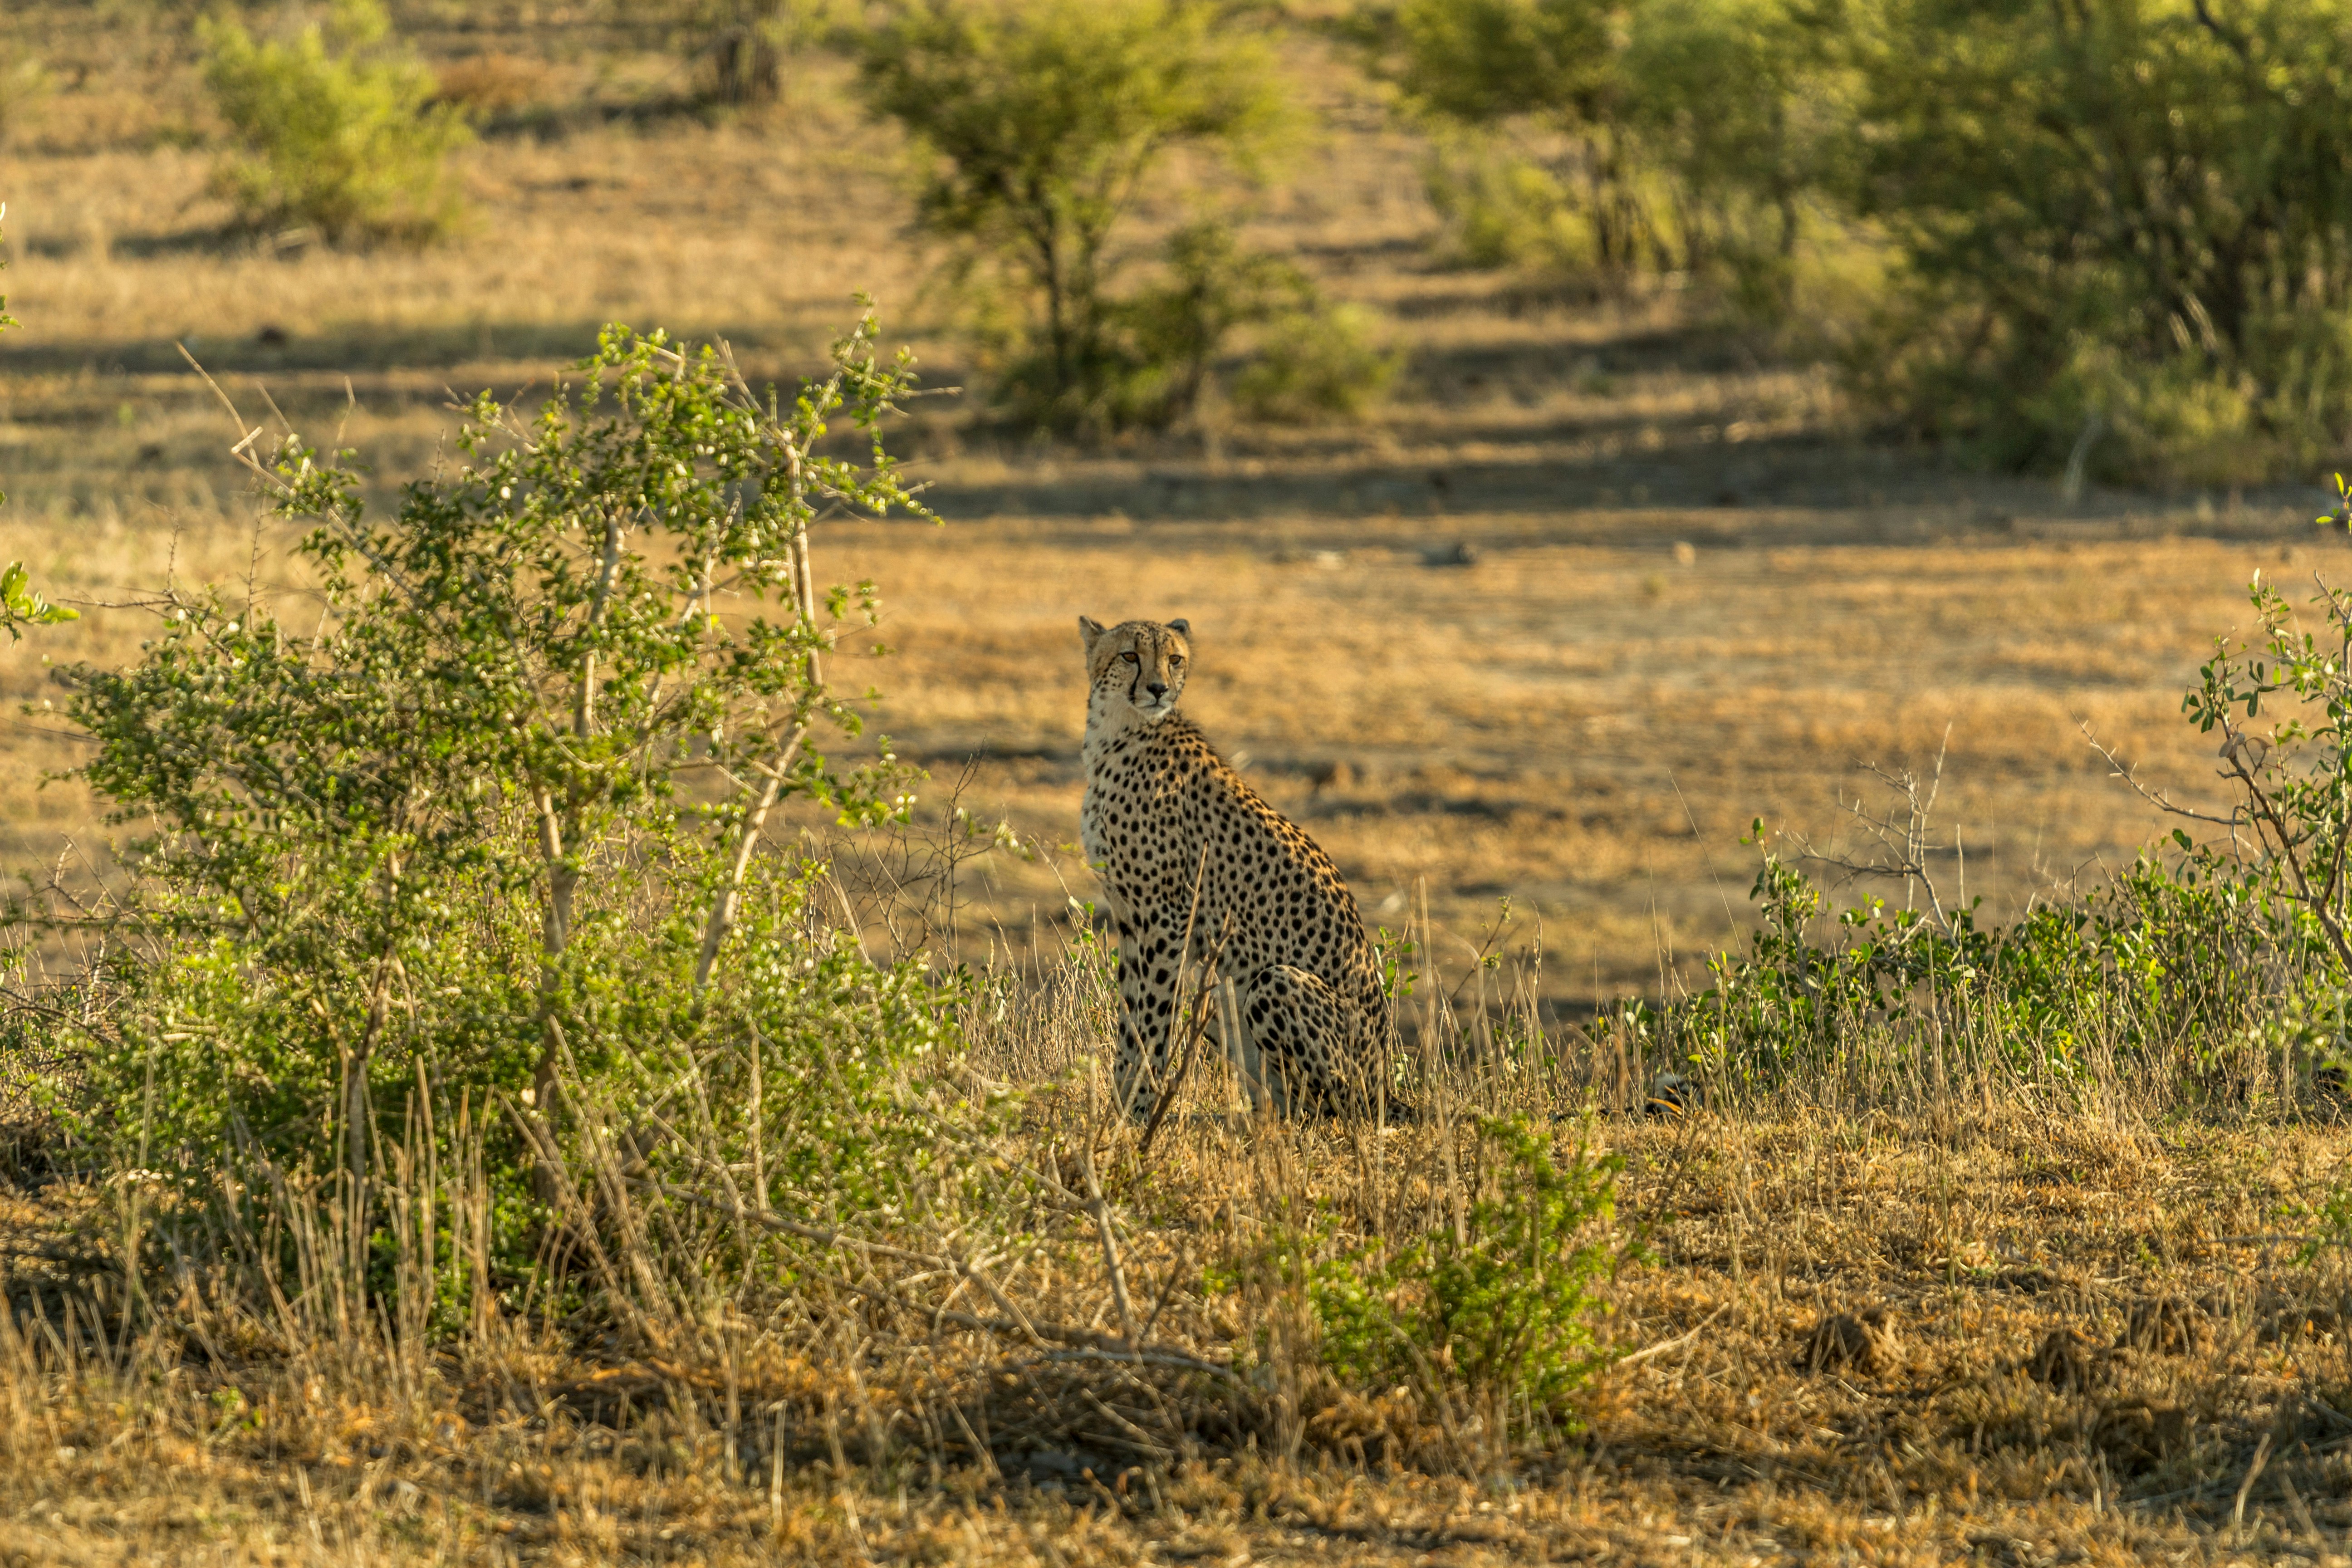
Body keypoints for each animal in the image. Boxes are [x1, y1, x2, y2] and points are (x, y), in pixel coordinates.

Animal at [1077, 615, 1406, 1122]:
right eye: (1130, 655)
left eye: (1175, 659)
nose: (1158, 689)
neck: (1118, 732)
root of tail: (1387, 1088)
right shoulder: (1132, 917)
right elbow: (1130, 1017)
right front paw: (1120, 1106)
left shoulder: (1166, 918)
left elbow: (1152, 1019)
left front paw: (1141, 1109)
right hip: (1220, 989)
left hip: (1275, 983)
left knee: (1327, 1107)